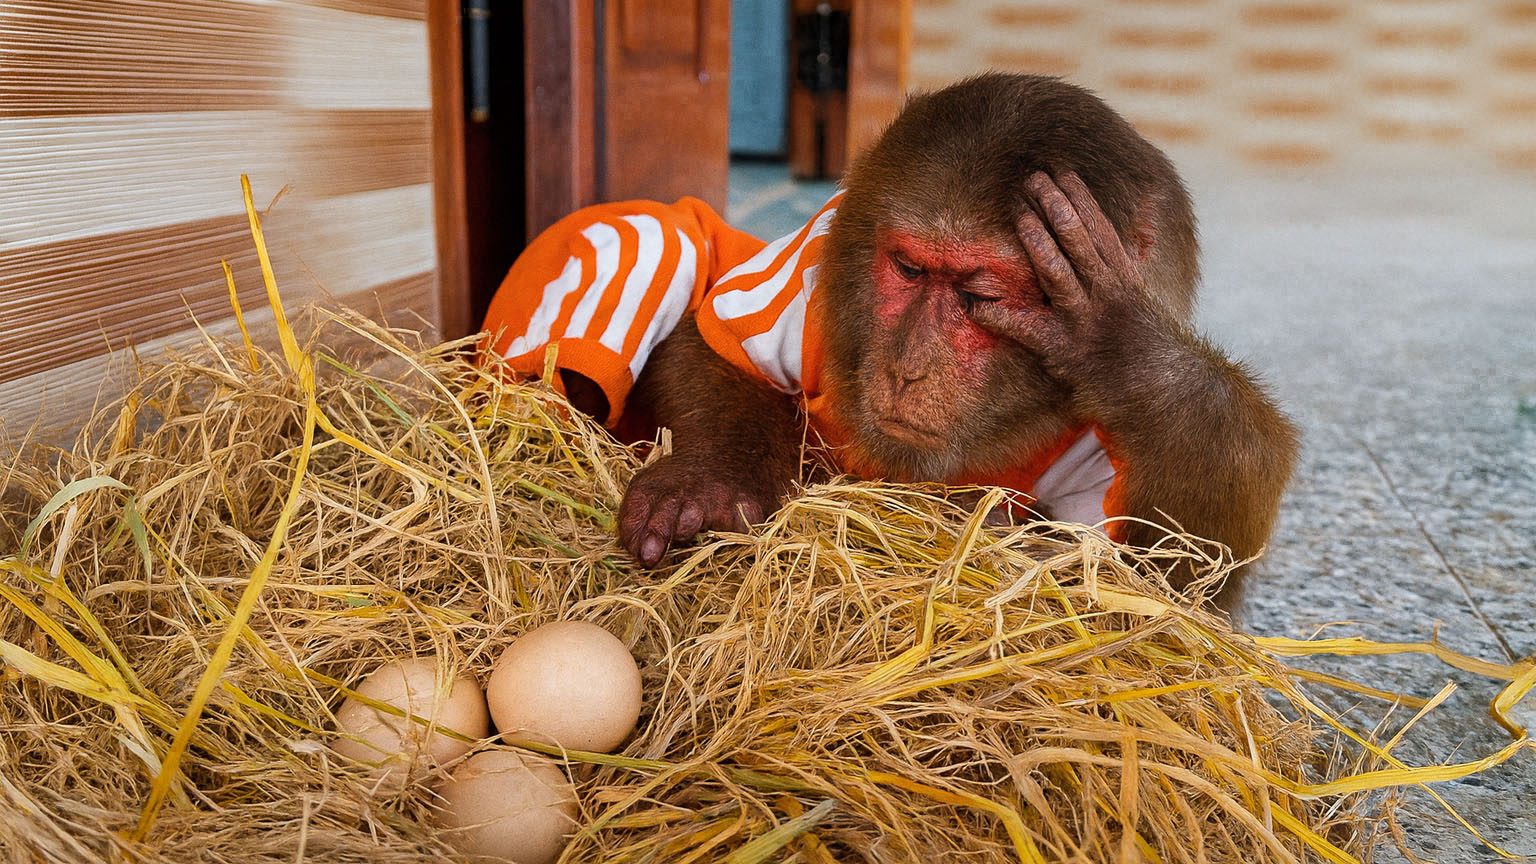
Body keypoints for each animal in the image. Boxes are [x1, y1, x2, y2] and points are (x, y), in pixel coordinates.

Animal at [482, 73, 1299, 609]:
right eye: (908, 268)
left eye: (978, 298)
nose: (908, 369)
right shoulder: (815, 275)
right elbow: (712, 347)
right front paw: (715, 482)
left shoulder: (1102, 448)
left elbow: (1166, 582)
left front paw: (1118, 343)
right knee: (654, 230)